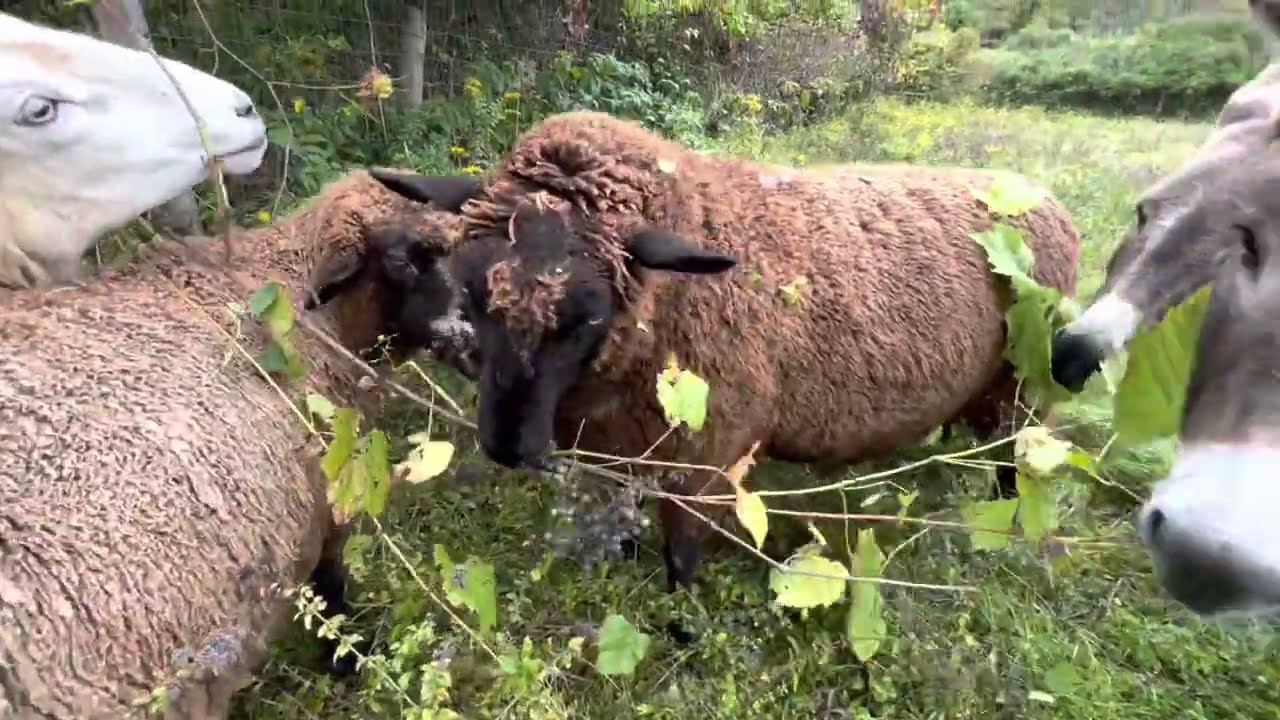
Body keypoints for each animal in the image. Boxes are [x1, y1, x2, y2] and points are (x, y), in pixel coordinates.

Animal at [366, 110, 1081, 591]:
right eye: (471, 291)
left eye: (589, 315)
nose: (507, 448)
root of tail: (1043, 195)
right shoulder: (624, 448)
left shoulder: (710, 453)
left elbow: (681, 549)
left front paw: (681, 610)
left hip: (1025, 382)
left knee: (1017, 458)